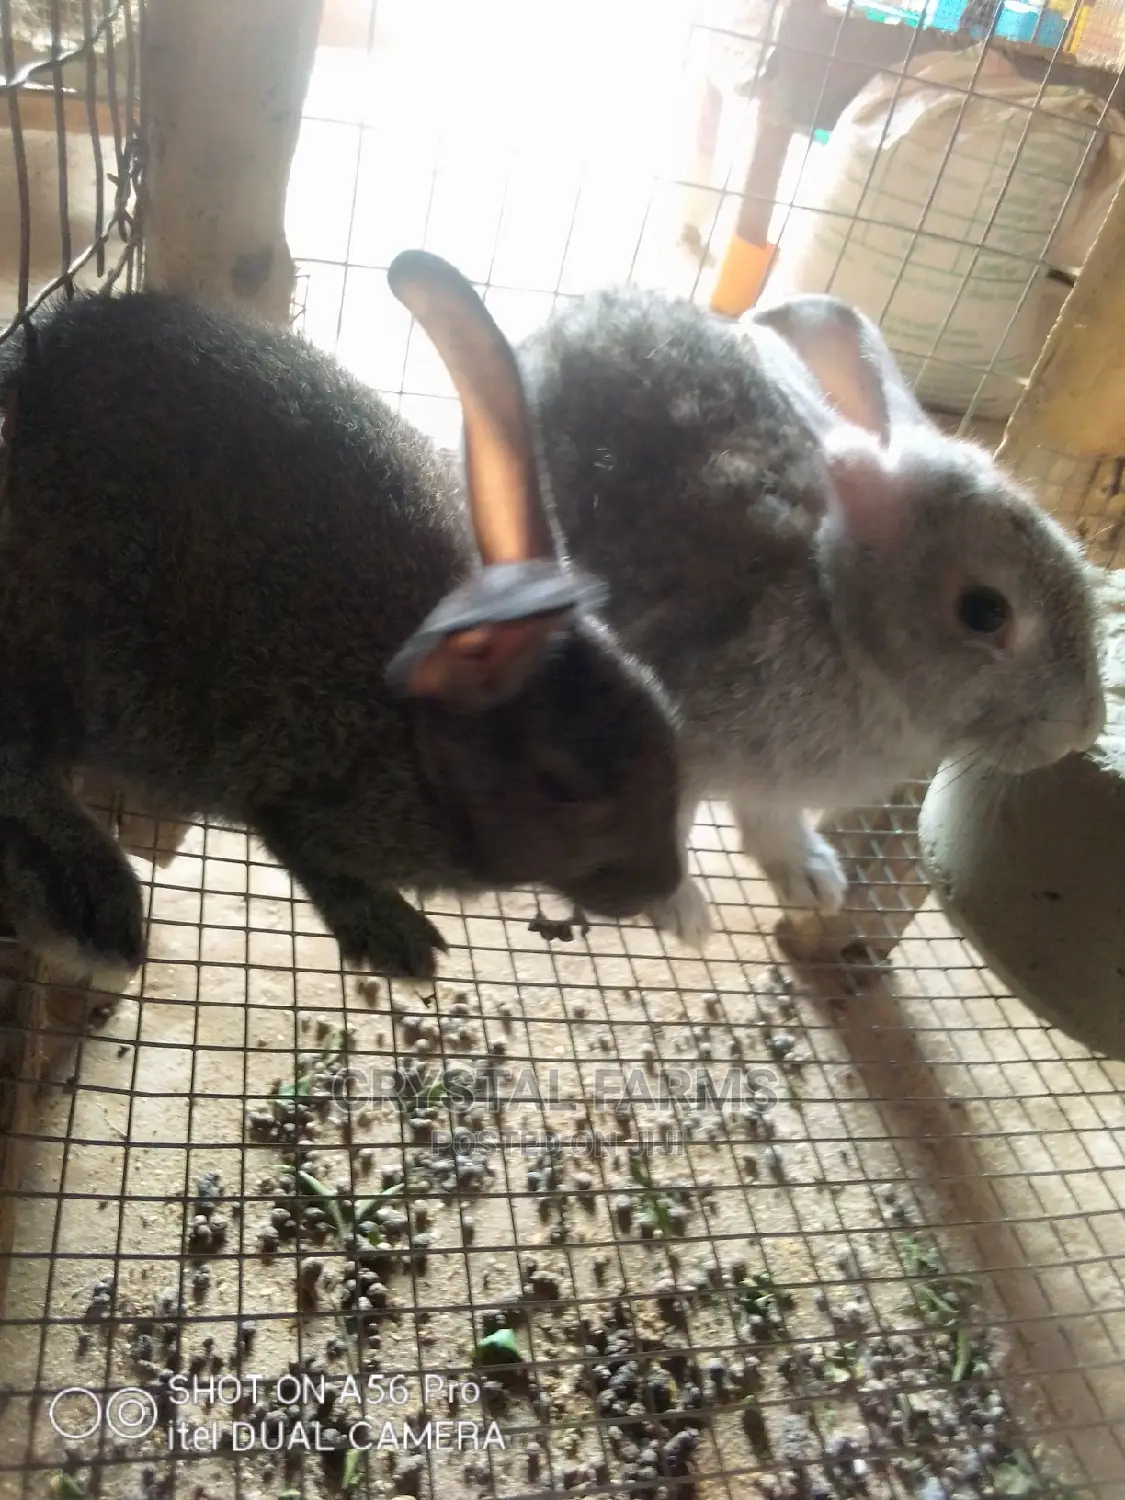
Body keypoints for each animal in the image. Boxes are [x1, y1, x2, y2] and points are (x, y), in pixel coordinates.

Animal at [0, 250, 684, 987]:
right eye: (562, 786)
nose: (662, 886)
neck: (416, 734)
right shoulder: (301, 793)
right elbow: (312, 855)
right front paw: (398, 941)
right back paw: (96, 906)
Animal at [516, 285, 1106, 949]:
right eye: (984, 612)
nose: (1082, 729)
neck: (841, 621)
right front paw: (682, 913)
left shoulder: (772, 786)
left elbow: (771, 822)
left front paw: (814, 882)